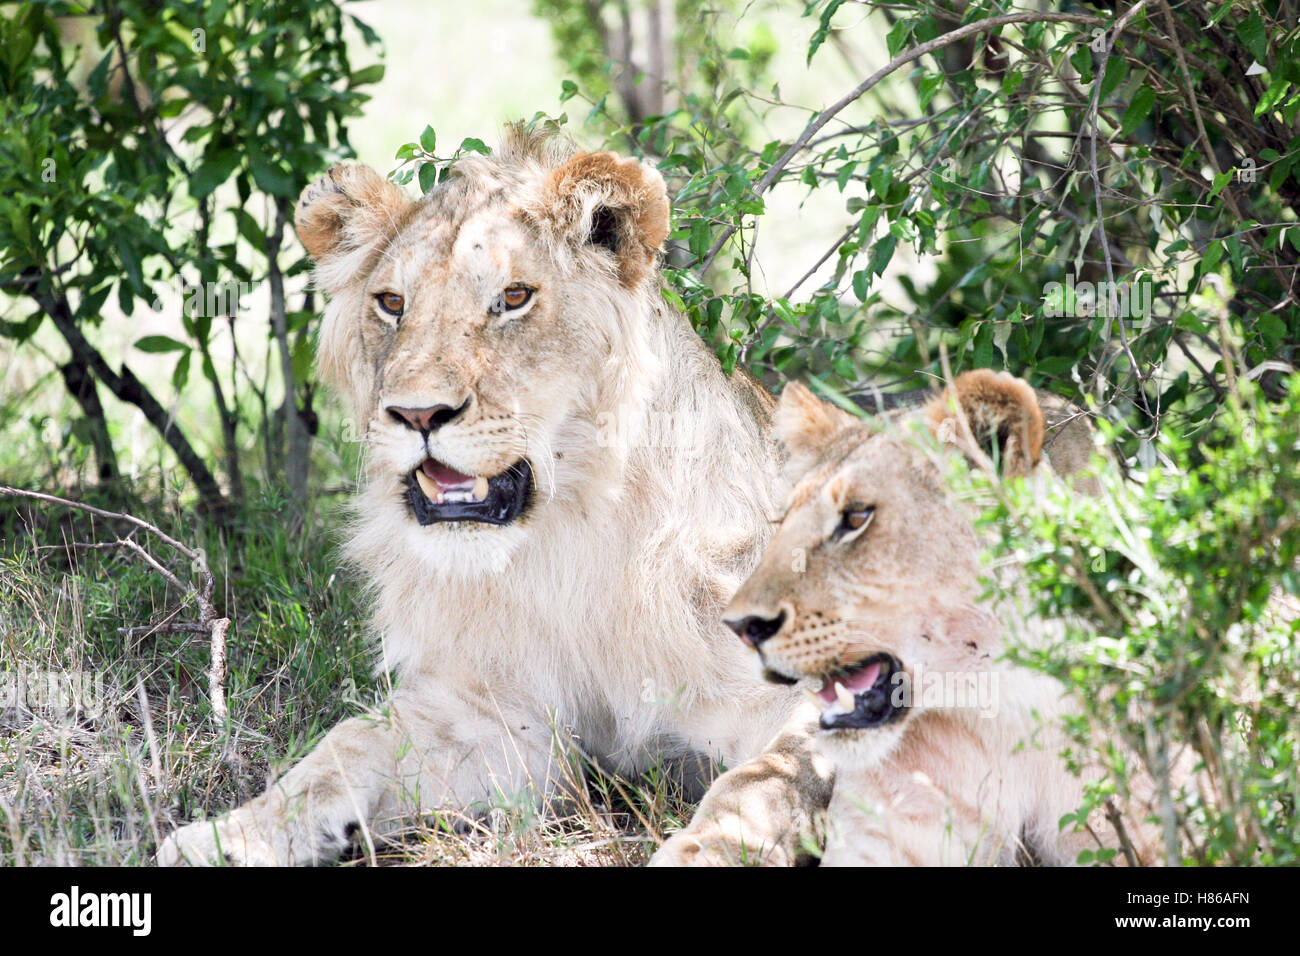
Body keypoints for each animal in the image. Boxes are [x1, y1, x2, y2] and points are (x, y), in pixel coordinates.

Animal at [156, 126, 836, 866]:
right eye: (391, 303)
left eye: (513, 297)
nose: (418, 414)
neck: (571, 537)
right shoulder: (506, 723)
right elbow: (346, 746)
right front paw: (228, 836)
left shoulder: (809, 699)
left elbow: (758, 787)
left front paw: (699, 854)